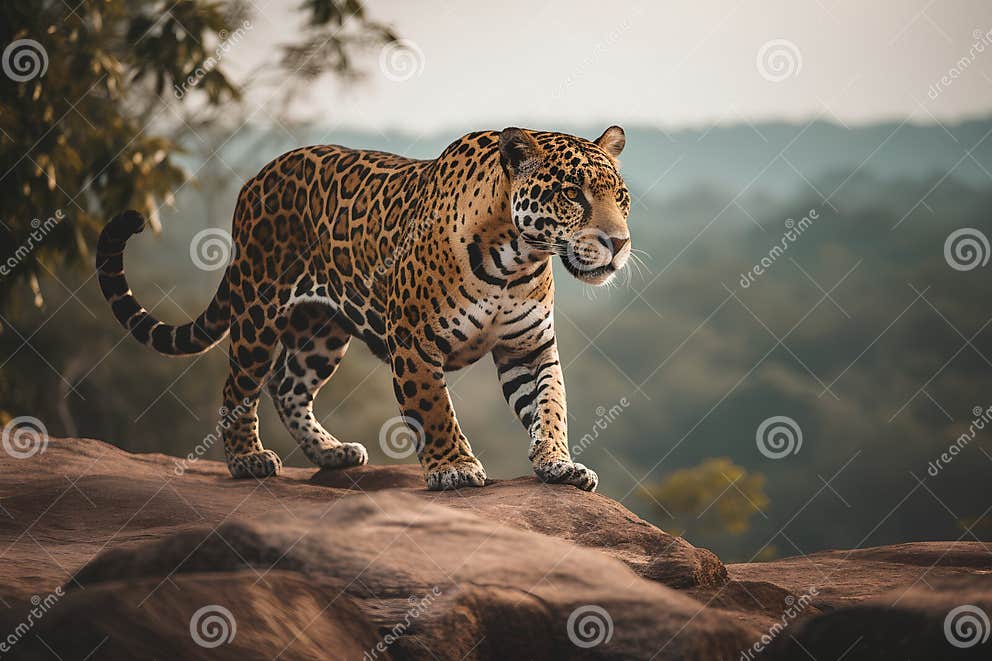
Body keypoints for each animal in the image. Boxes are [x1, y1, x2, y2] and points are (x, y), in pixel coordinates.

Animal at [96, 126, 632, 491]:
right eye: (572, 194)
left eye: (622, 198)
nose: (619, 243)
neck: (516, 260)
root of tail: (256, 178)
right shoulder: (414, 341)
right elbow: (434, 408)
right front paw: (454, 468)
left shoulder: (529, 347)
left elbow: (550, 405)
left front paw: (559, 464)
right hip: (258, 309)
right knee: (239, 388)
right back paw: (248, 460)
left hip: (320, 330)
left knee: (287, 385)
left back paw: (332, 453)